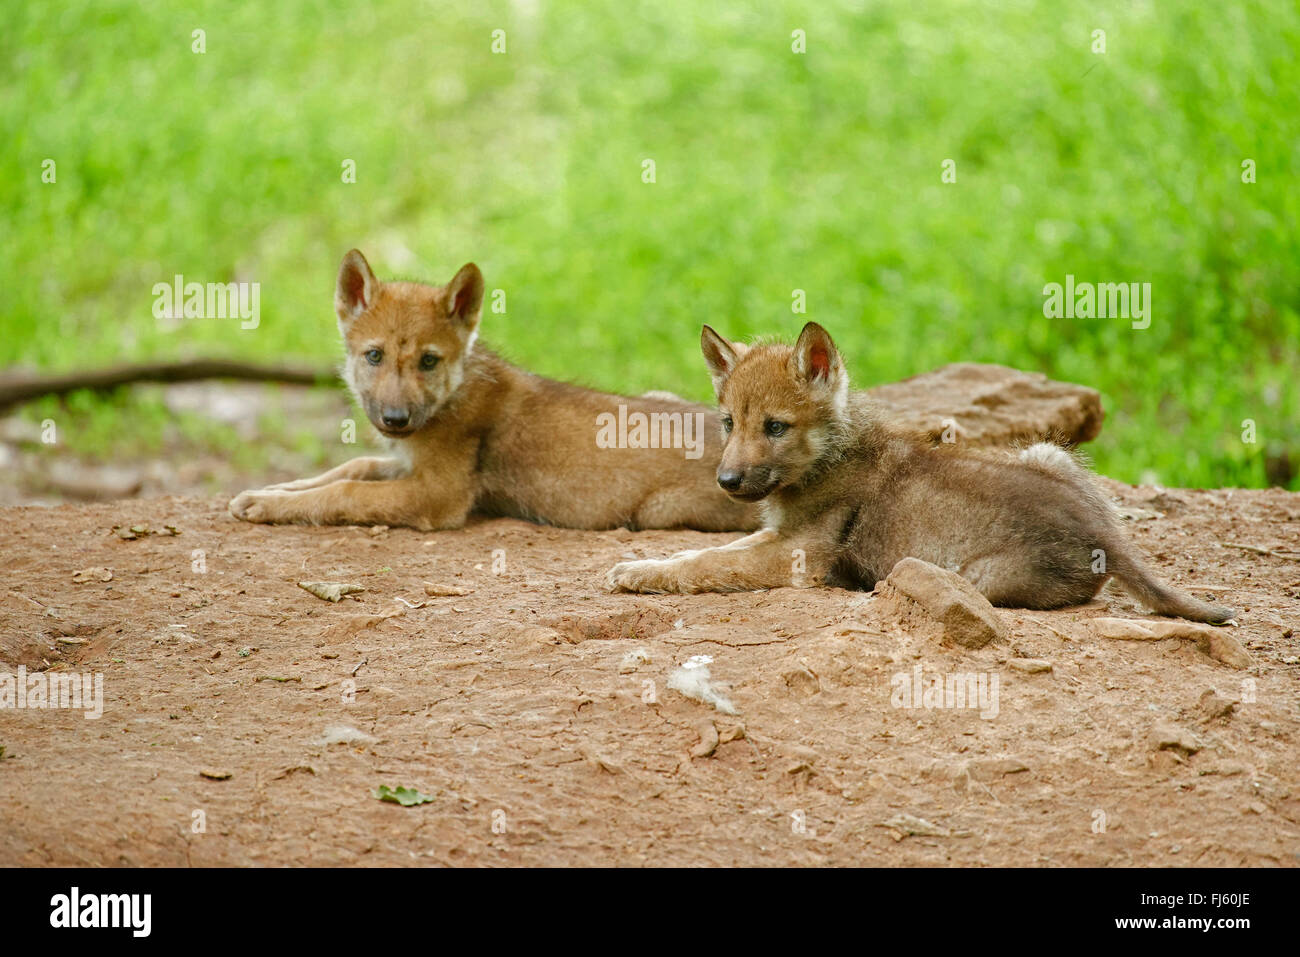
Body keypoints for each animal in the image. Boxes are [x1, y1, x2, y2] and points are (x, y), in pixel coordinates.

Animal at [229, 250, 757, 533]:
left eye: (428, 360)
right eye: (373, 356)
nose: (396, 420)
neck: (453, 395)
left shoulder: (438, 495)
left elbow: (345, 491)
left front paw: (269, 505)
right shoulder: (406, 463)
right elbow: (348, 467)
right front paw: (266, 491)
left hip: (658, 512)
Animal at [606, 321, 1234, 624]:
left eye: (776, 427)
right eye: (729, 423)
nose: (728, 483)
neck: (829, 457)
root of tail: (1107, 536)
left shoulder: (796, 556)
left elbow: (709, 563)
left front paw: (641, 574)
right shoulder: (775, 535)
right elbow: (701, 552)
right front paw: (638, 565)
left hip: (967, 575)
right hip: (1046, 452)